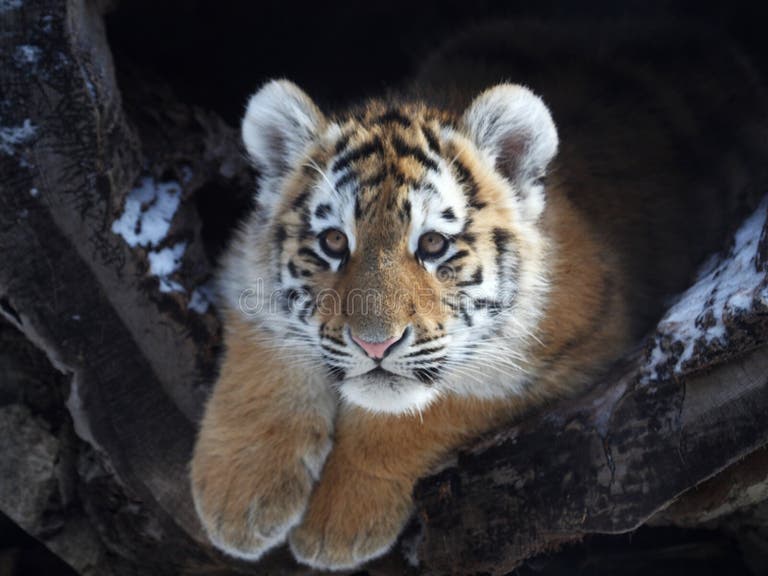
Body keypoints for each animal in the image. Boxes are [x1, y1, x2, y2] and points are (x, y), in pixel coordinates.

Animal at [189, 22, 767, 570]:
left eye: (433, 244)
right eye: (334, 242)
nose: (375, 345)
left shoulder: (581, 346)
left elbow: (436, 403)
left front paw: (339, 522)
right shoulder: (244, 271)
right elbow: (268, 351)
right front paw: (238, 495)